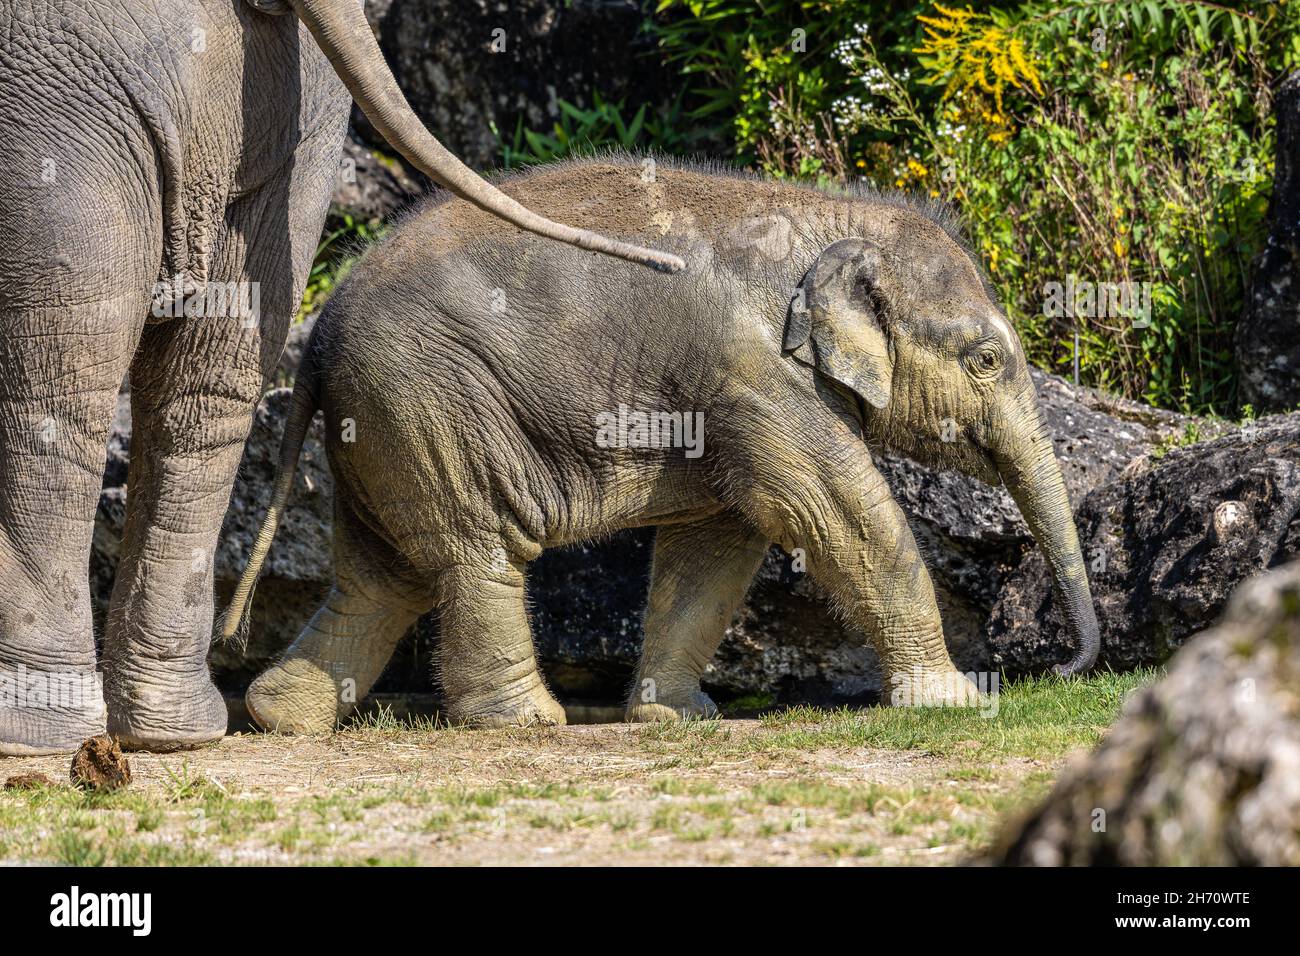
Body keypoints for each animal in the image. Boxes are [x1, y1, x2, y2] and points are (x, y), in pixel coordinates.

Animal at [220, 157, 1102, 733]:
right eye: (986, 361)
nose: (1058, 667)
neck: (830, 216)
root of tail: (317, 335)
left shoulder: (733, 397)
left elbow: (720, 544)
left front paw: (675, 717)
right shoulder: (757, 375)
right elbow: (829, 508)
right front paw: (957, 702)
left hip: (380, 420)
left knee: (382, 575)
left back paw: (282, 717)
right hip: (432, 398)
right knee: (476, 550)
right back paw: (526, 723)